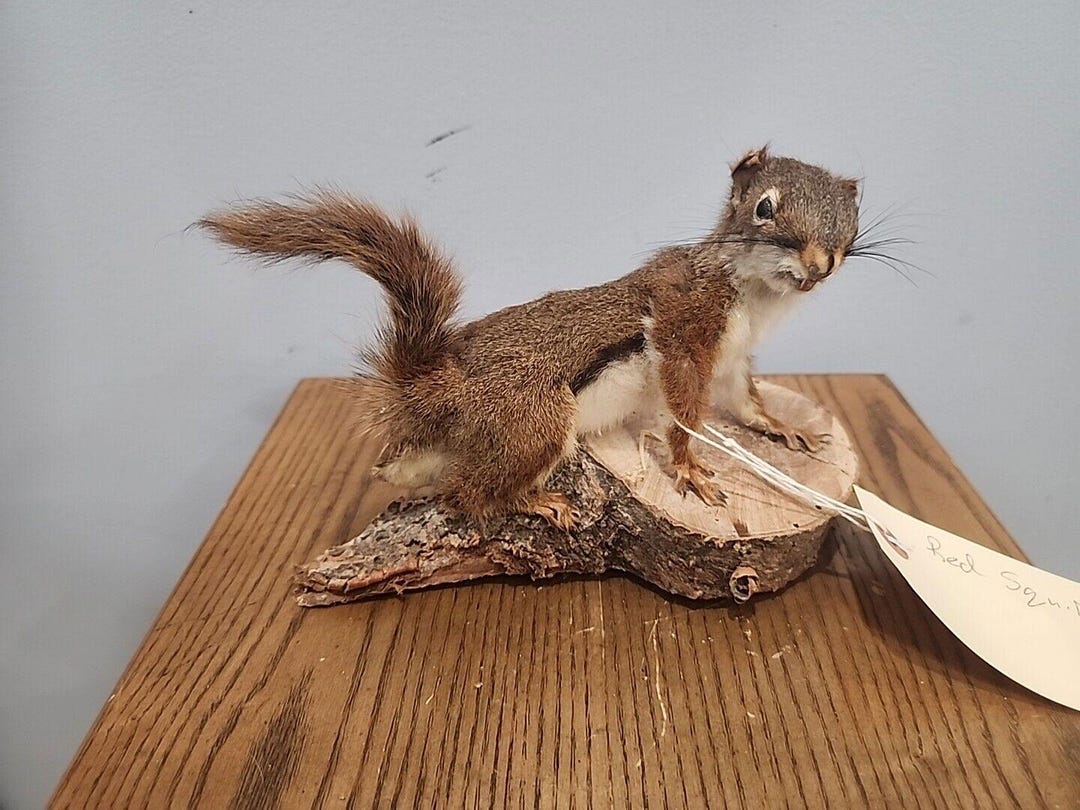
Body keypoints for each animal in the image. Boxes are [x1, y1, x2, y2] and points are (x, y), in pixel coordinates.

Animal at [200, 146, 860, 530]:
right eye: (764, 208)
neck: (758, 298)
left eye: (850, 217)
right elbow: (683, 412)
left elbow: (745, 403)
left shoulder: (731, 364)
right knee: (466, 494)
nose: (821, 263)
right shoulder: (682, 327)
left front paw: (785, 427)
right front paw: (690, 467)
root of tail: (435, 393)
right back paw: (534, 501)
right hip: (536, 421)